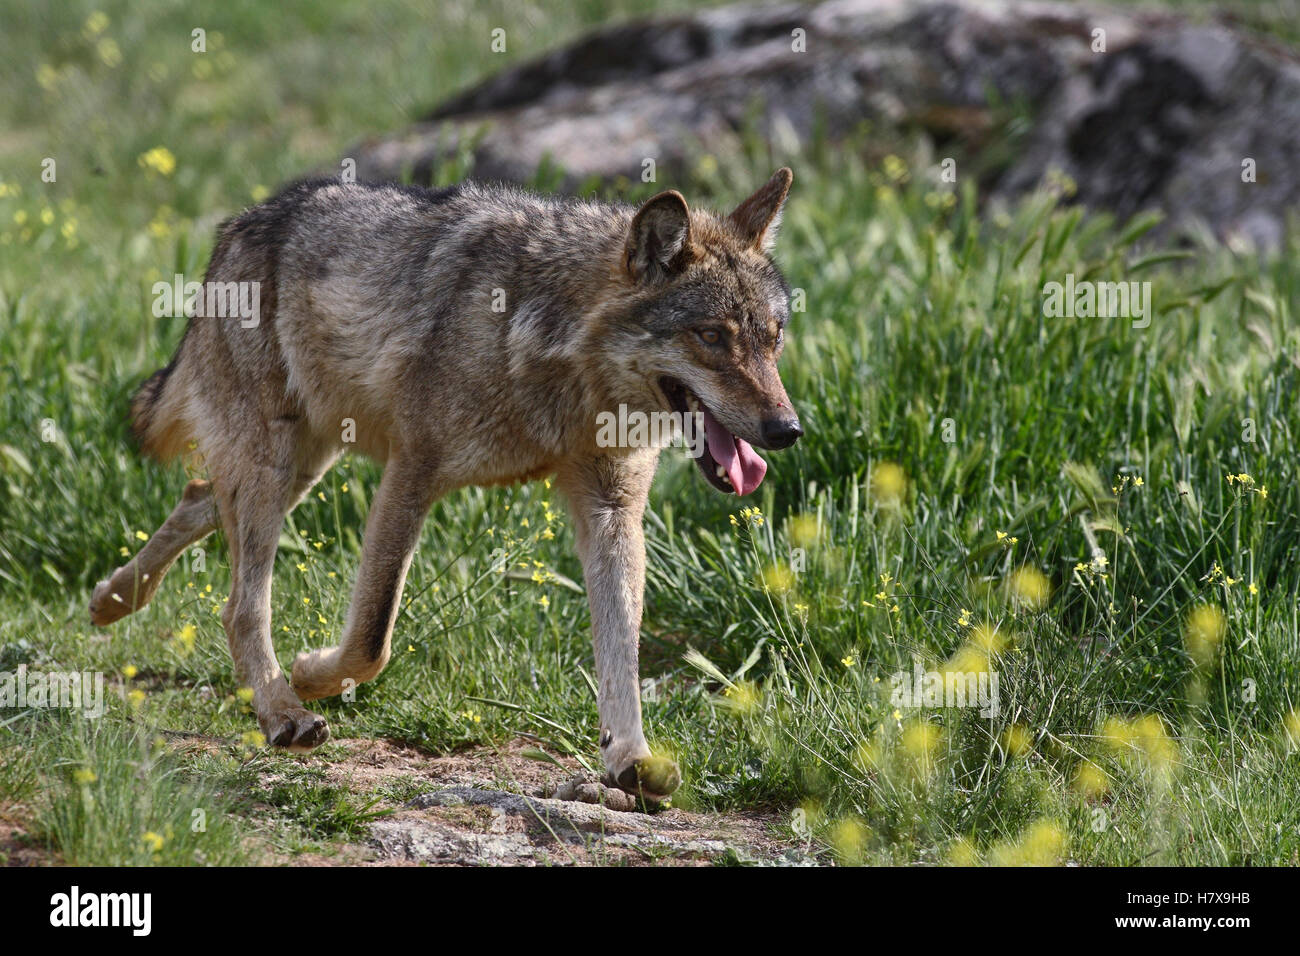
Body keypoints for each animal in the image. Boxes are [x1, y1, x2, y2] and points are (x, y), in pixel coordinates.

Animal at [89, 168, 802, 803]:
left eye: (772, 340)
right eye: (711, 337)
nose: (787, 429)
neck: (547, 347)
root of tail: (239, 224)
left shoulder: (611, 507)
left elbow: (621, 648)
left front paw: (629, 760)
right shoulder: (412, 473)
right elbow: (371, 638)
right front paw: (313, 673)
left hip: (302, 466)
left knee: (197, 498)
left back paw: (112, 599)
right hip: (276, 467)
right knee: (240, 603)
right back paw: (282, 711)